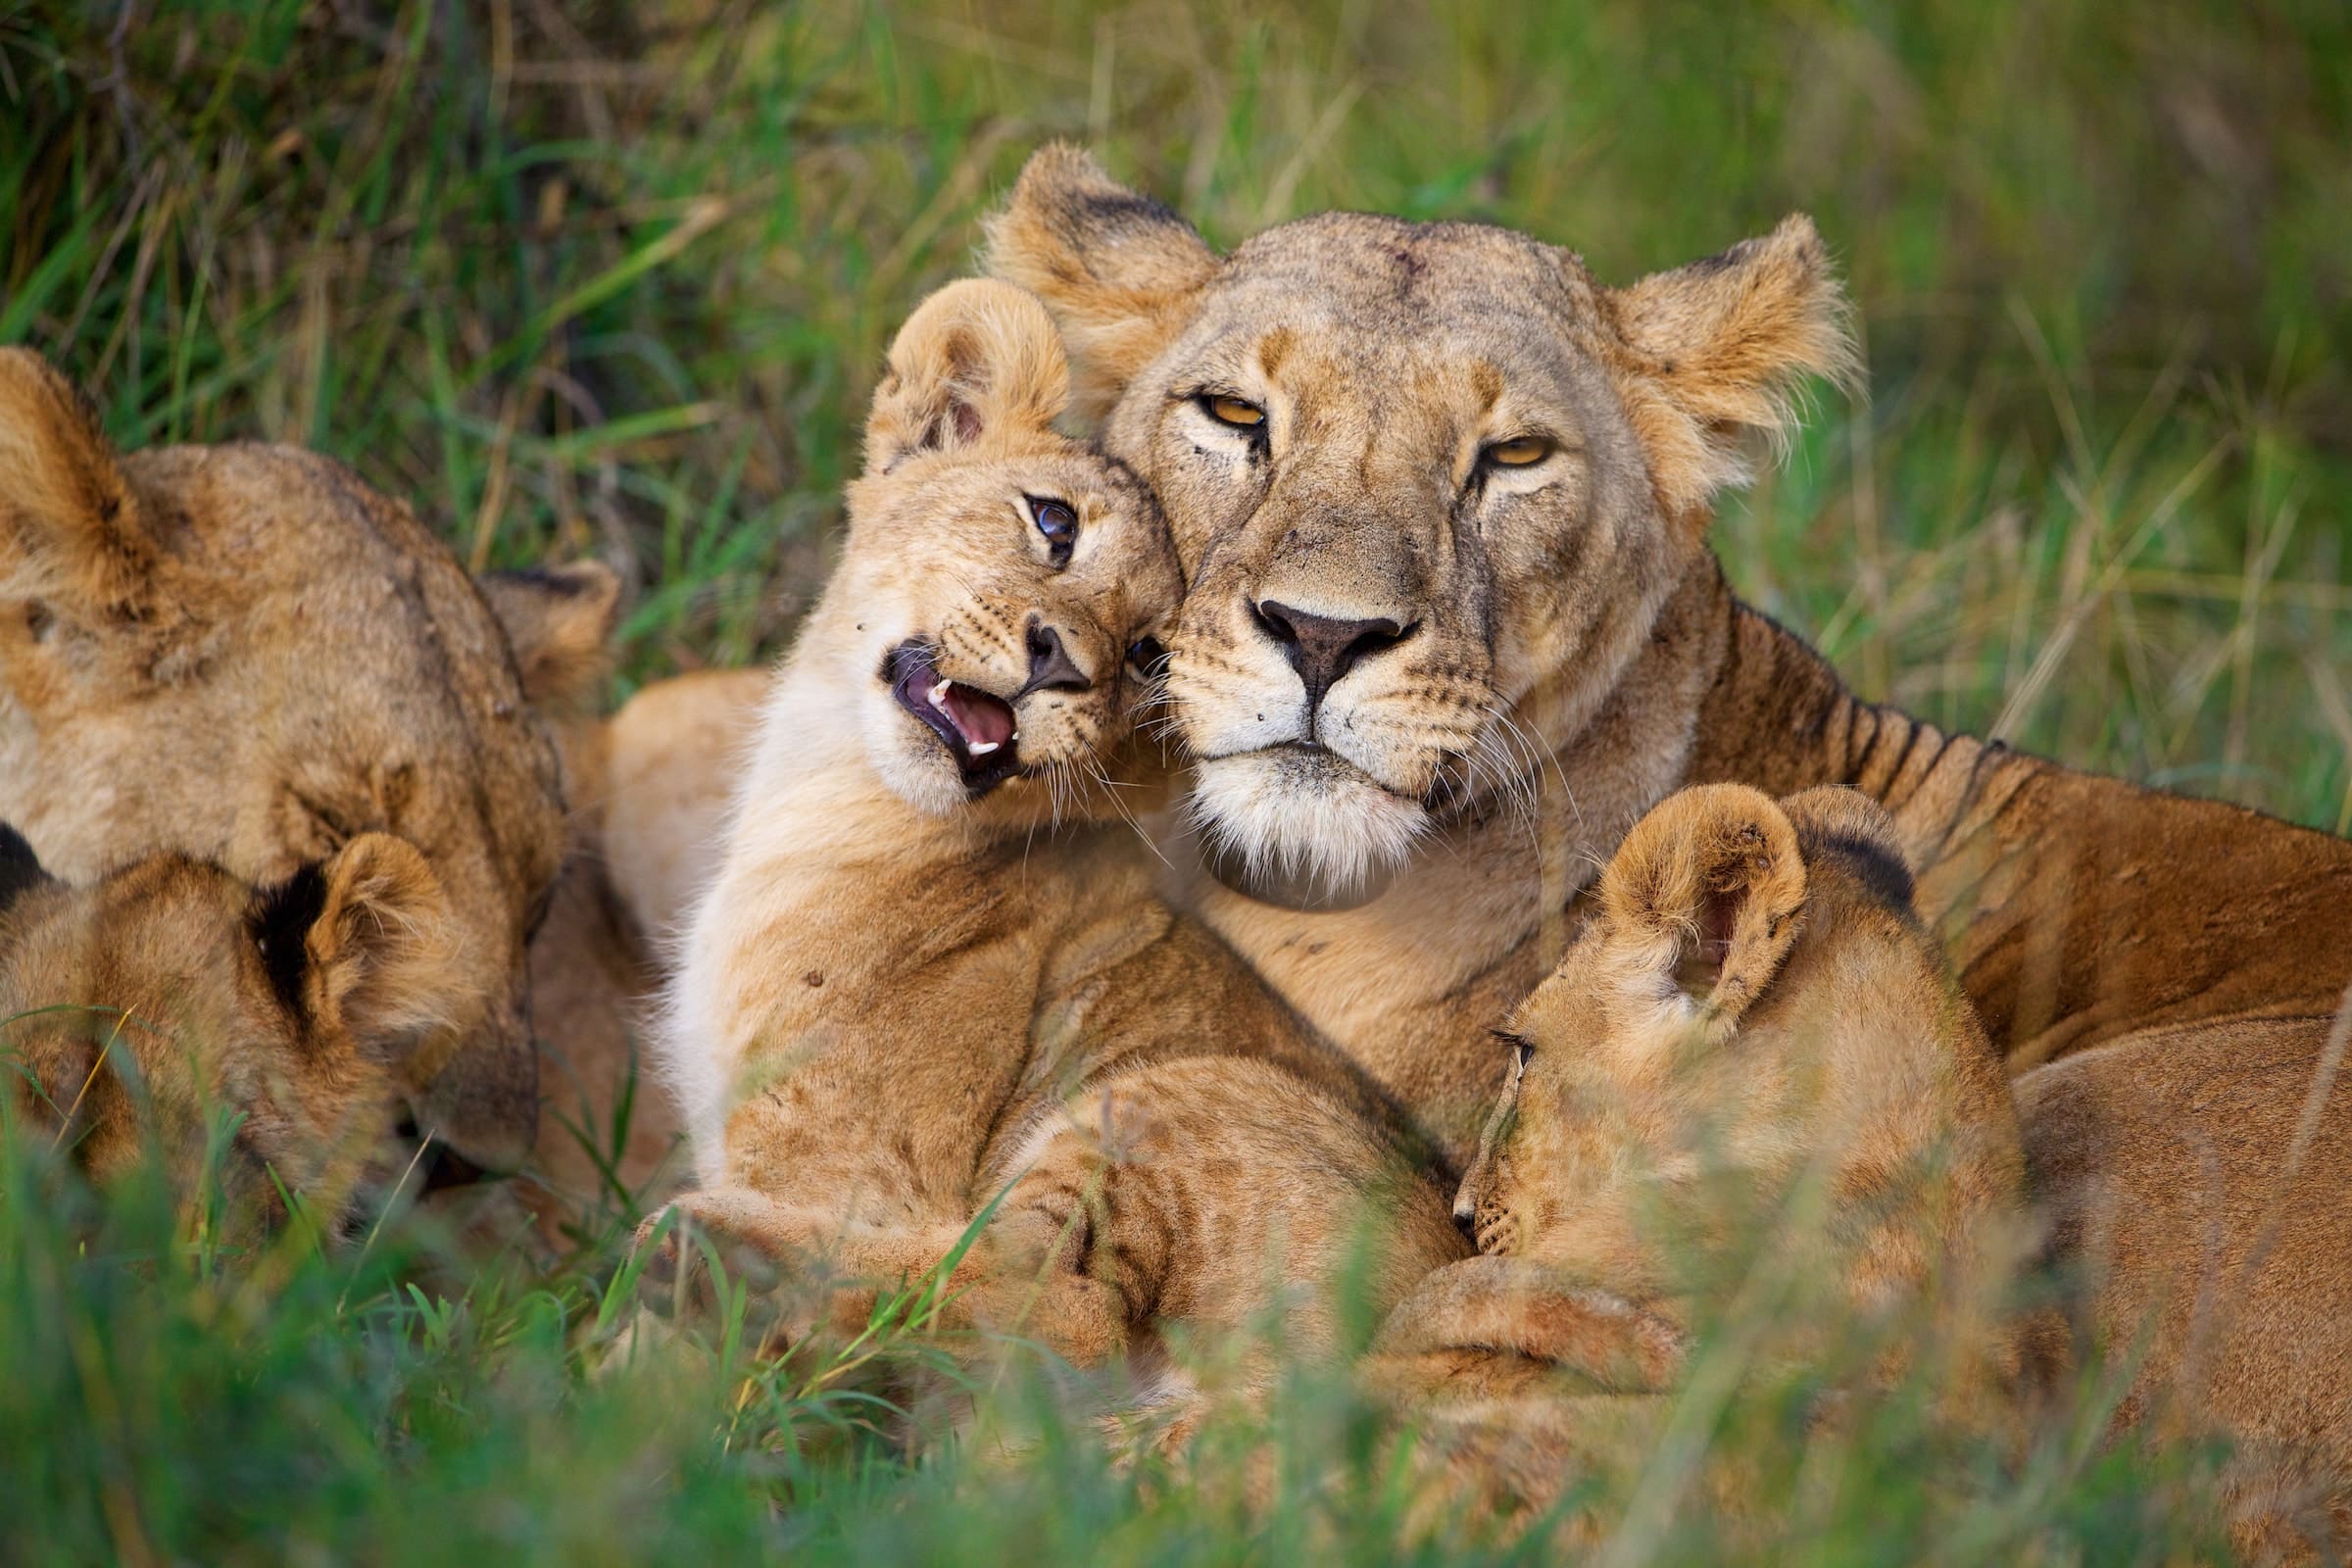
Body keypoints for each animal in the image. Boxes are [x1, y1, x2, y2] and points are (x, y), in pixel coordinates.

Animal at [641, 278, 1462, 1386]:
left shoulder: (849, 1168)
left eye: (1152, 655)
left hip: (1164, 1092)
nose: (1055, 661)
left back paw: (715, 1255)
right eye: (1052, 521)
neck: (826, 786)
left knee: (1061, 1314)